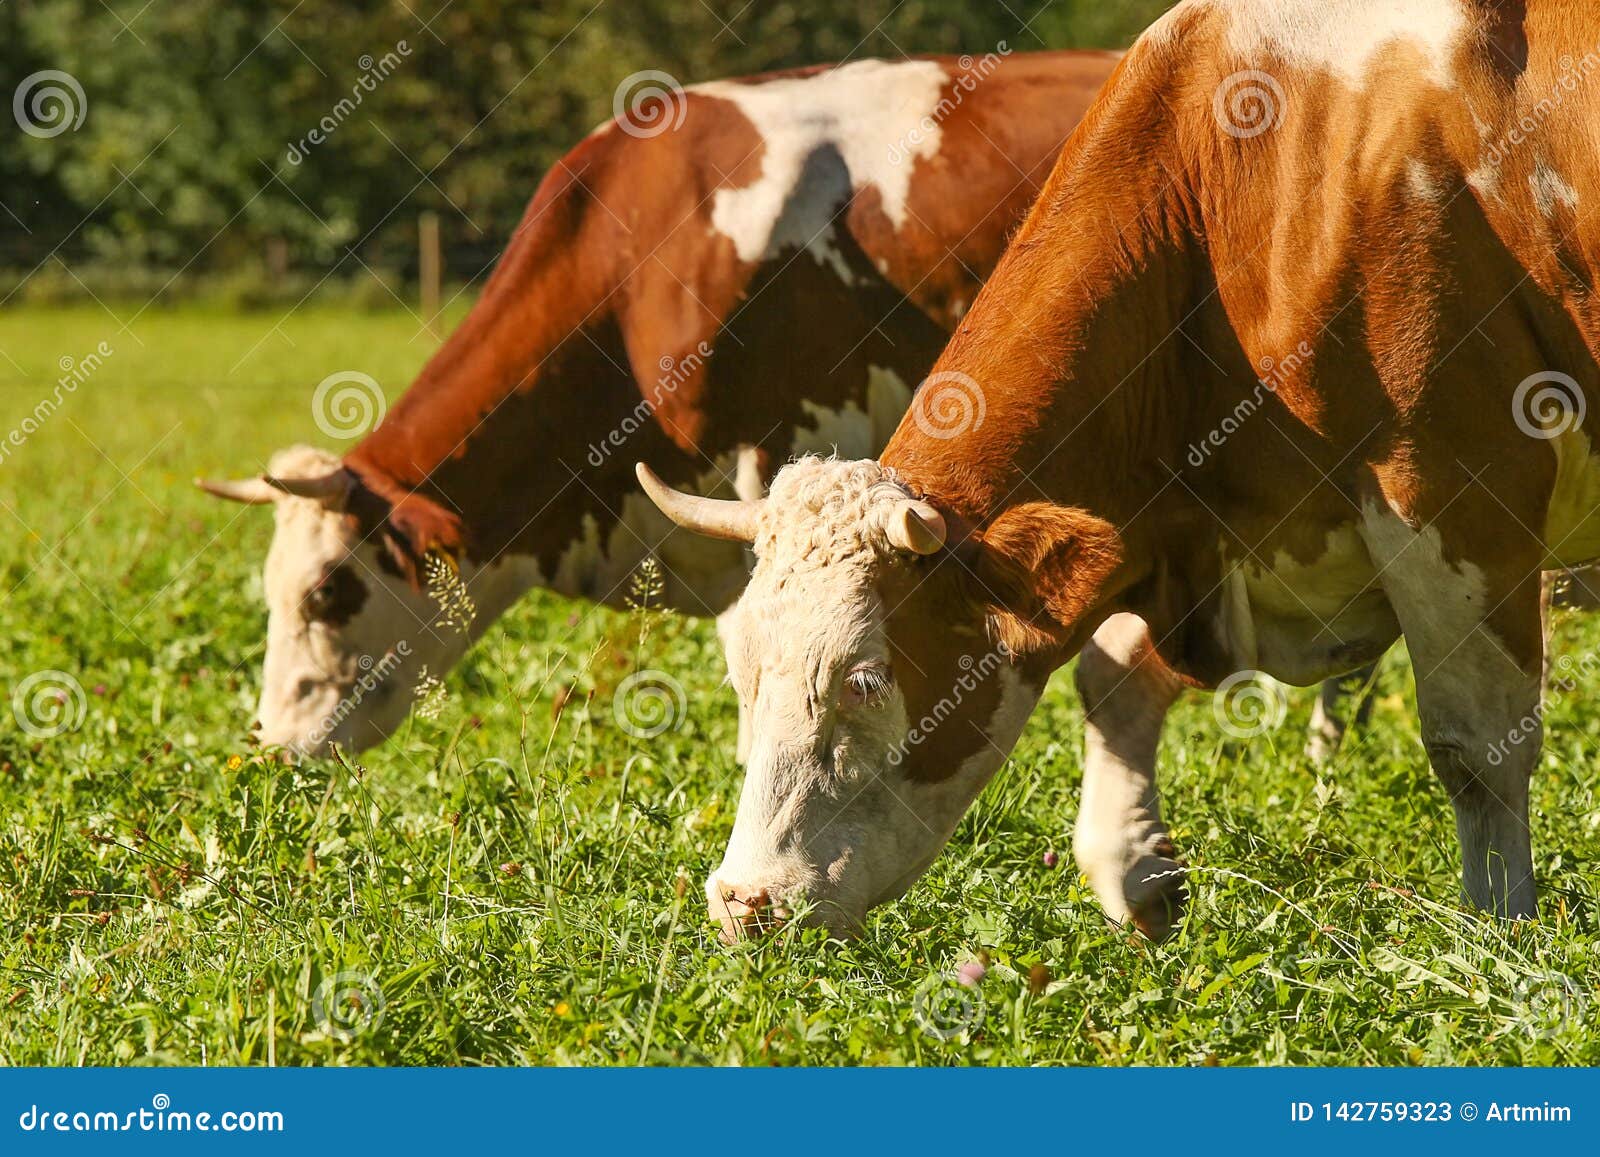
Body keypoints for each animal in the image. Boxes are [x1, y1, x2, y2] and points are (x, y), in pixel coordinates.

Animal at [641, 0, 1600, 942]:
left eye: (865, 679)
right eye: (742, 674)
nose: (743, 903)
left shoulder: (1455, 490)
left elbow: (1476, 748)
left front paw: (1502, 932)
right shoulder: (1189, 538)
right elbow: (1111, 682)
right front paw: (1137, 865)